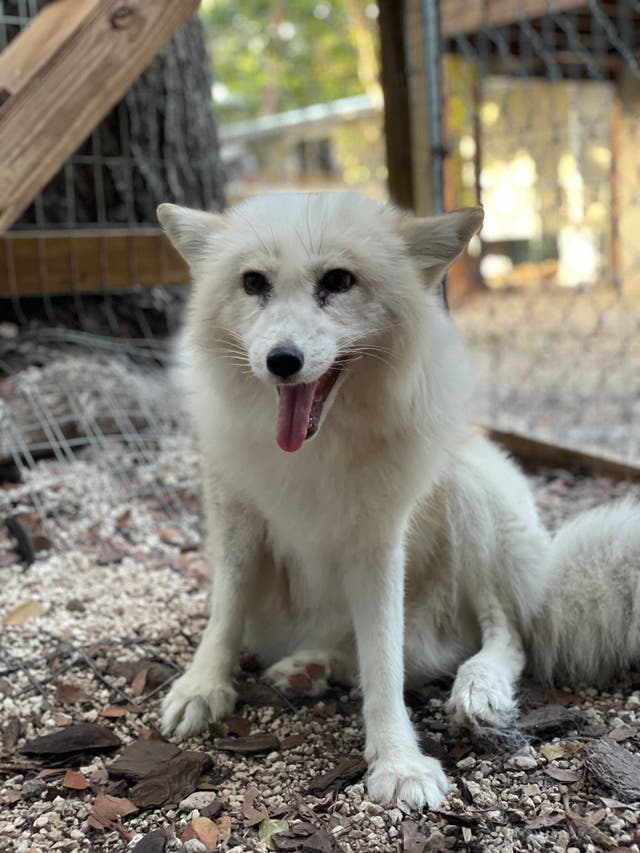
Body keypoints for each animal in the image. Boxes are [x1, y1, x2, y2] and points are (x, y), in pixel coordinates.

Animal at [157, 191, 640, 810]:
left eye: (338, 281)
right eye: (254, 282)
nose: (281, 361)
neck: (314, 452)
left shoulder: (378, 542)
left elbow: (384, 659)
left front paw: (398, 762)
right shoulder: (237, 517)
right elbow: (226, 613)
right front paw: (203, 686)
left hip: (470, 493)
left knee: (502, 634)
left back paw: (477, 687)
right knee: (395, 653)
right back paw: (311, 667)